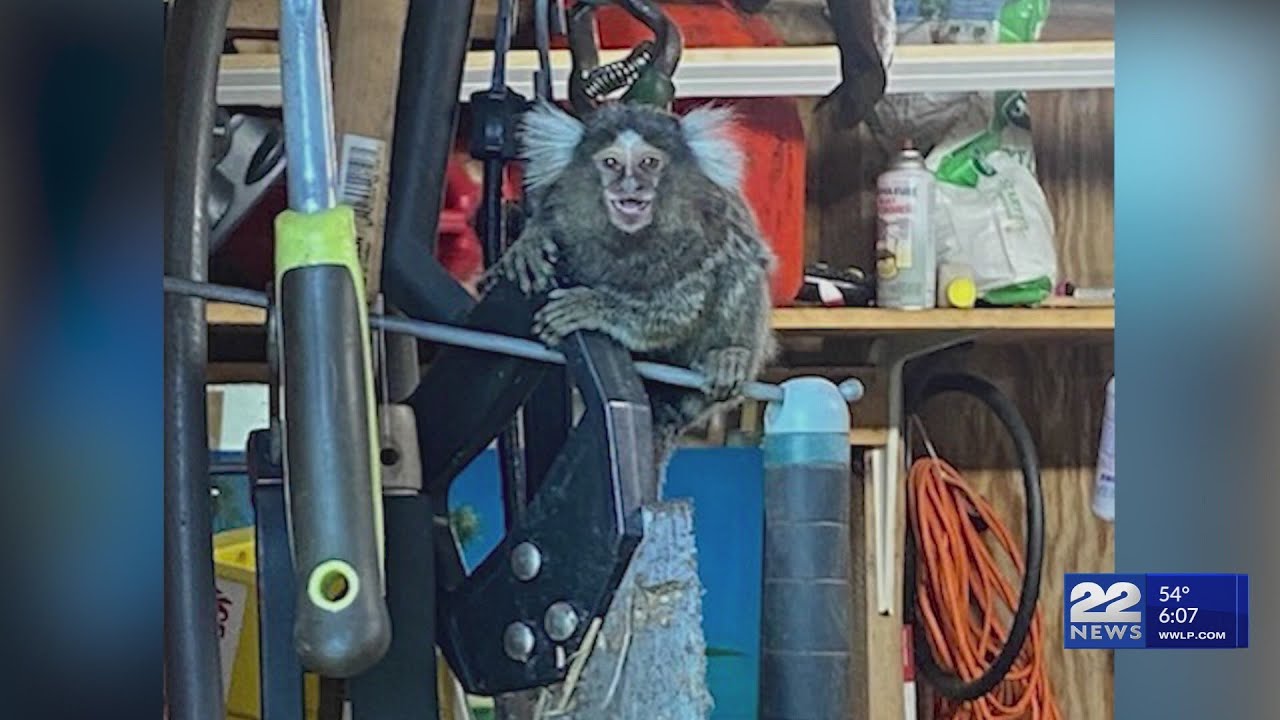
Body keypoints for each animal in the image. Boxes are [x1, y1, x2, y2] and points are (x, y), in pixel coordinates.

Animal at [487, 100, 777, 495]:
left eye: (649, 163)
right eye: (611, 163)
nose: (630, 186)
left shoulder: (706, 228)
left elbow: (678, 306)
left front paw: (593, 307)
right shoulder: (561, 211)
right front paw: (527, 244)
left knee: (741, 263)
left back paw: (730, 356)